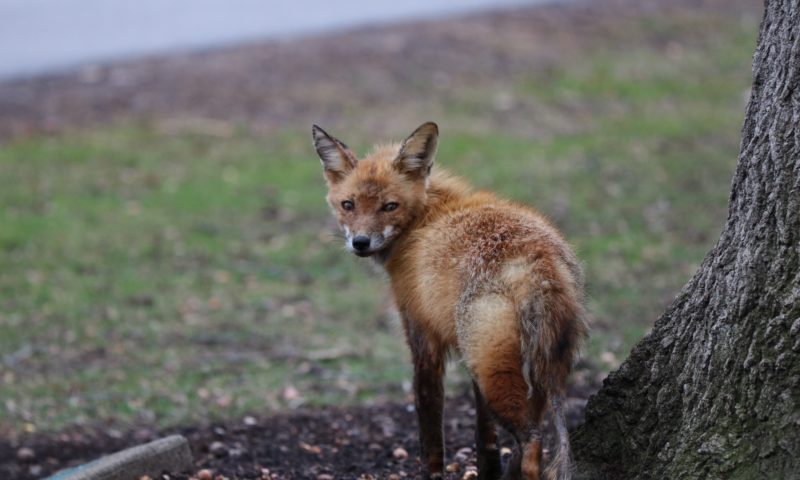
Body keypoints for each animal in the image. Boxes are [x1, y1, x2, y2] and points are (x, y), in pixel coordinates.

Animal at [312, 122, 588, 480]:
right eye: (348, 205)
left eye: (389, 206)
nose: (360, 242)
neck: (423, 221)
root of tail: (539, 262)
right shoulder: (470, 360)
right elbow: (484, 436)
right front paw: (488, 473)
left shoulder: (422, 338)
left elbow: (430, 432)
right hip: (522, 365)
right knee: (526, 433)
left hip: (494, 369)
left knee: (532, 441)